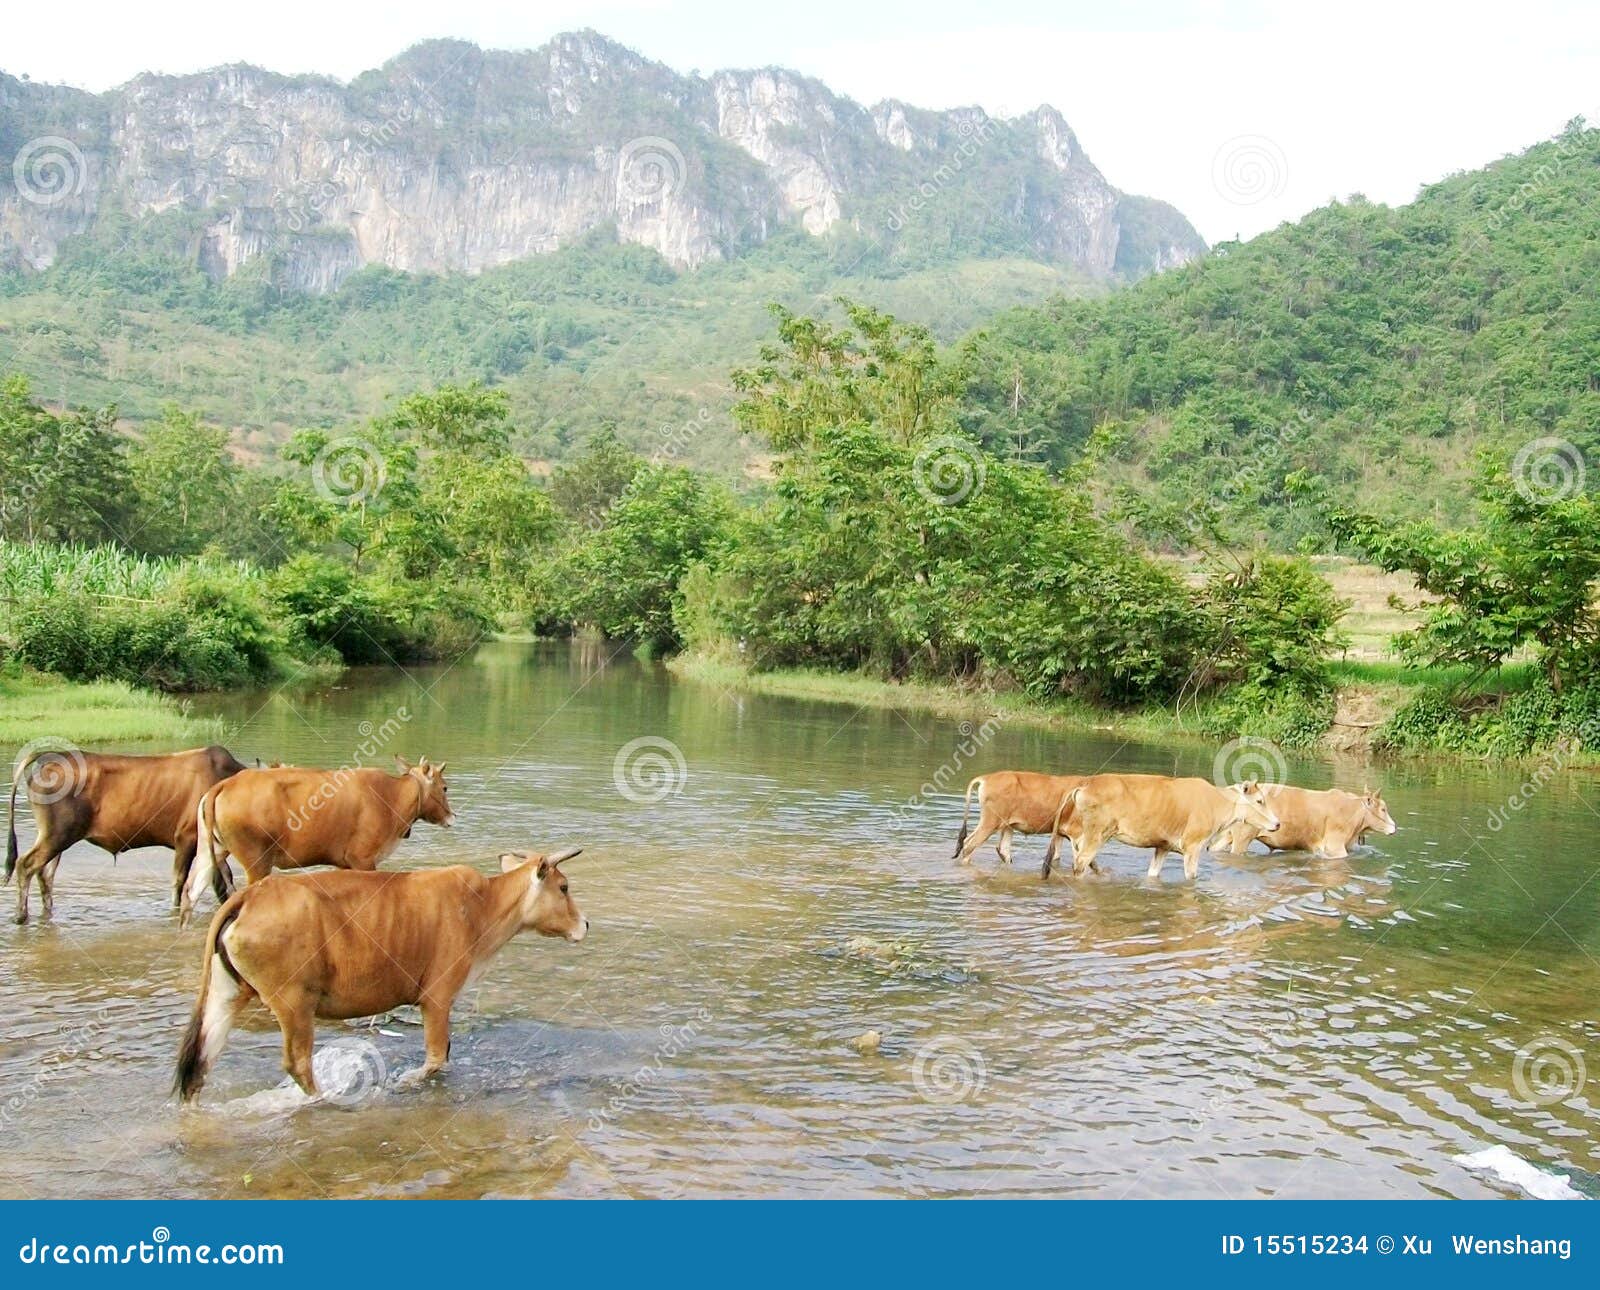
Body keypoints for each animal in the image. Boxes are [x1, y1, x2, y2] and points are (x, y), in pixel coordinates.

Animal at [6, 745, 247, 924]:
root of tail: (51, 758)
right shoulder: (185, 838)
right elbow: (180, 883)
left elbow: (224, 883)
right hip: (58, 834)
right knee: (25, 865)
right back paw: (20, 916)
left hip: (56, 836)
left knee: (45, 874)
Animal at [174, 847, 588, 1102]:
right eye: (564, 886)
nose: (584, 924)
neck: (483, 904)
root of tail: (250, 896)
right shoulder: (437, 998)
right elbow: (435, 1058)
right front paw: (403, 1083)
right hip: (294, 1004)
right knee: (297, 1063)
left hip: (227, 995)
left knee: (199, 1063)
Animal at [179, 756, 454, 924]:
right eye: (445, 787)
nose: (451, 816)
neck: (391, 796)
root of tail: (225, 785)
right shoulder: (363, 859)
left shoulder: (346, 863)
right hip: (257, 862)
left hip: (212, 851)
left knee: (190, 894)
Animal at [953, 771, 1085, 867]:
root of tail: (986, 777)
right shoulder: (1076, 834)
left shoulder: (1059, 833)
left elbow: (1056, 857)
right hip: (990, 823)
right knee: (969, 844)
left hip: (1006, 825)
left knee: (1003, 850)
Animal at [1041, 773, 1281, 880]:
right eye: (1260, 800)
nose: (1277, 823)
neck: (1216, 803)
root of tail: (1085, 784)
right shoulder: (1193, 846)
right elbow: (1191, 877)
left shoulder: (1163, 847)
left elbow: (1153, 873)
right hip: (1096, 834)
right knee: (1080, 863)